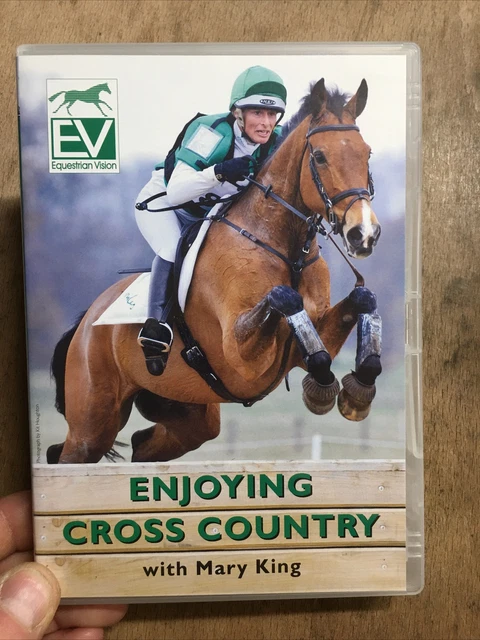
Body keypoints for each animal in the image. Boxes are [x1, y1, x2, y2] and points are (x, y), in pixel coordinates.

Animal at [48, 78, 382, 465]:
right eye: (320, 157)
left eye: (366, 154)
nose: (364, 234)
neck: (285, 249)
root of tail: (88, 319)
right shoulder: (240, 352)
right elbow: (284, 298)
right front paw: (323, 385)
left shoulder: (309, 336)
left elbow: (363, 298)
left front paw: (358, 389)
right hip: (92, 423)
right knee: (71, 452)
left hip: (187, 412)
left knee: (141, 445)